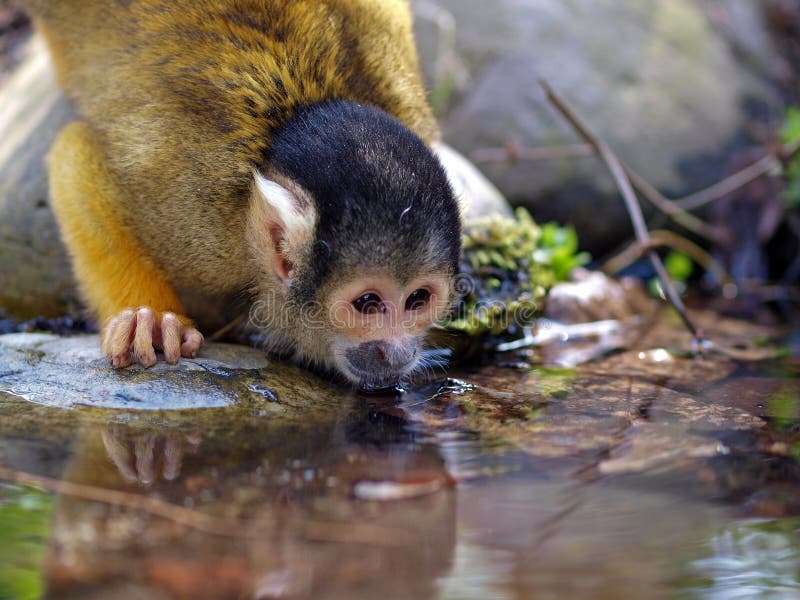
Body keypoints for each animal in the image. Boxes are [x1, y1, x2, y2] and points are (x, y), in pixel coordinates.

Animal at [24, 0, 462, 389]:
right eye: (368, 303)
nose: (399, 353)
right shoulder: (194, 219)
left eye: (418, 299)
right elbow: (76, 156)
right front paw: (147, 317)